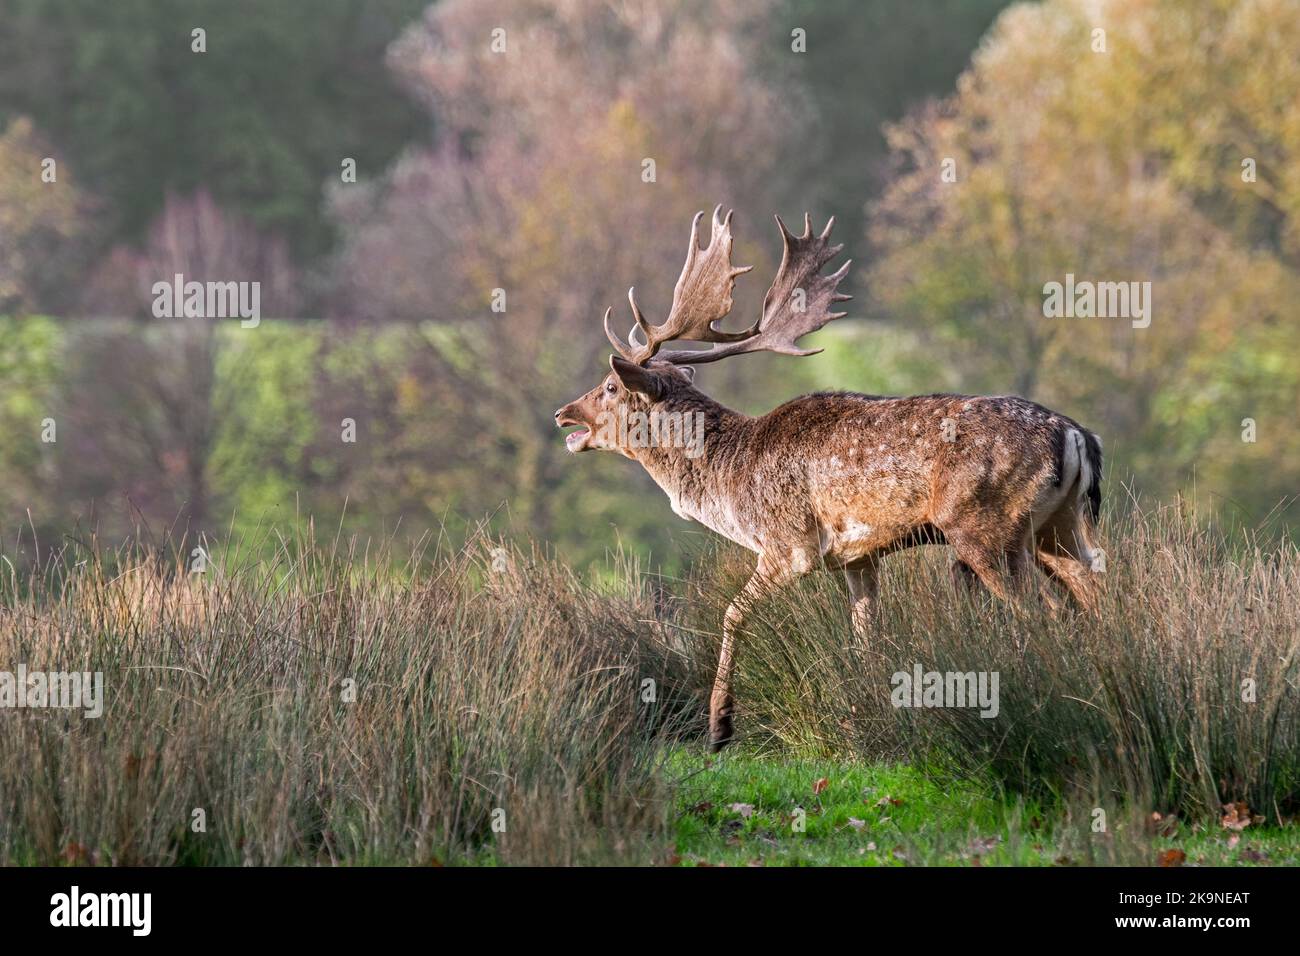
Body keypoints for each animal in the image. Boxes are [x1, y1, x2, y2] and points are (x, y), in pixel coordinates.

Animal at [555, 208, 1103, 751]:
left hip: (984, 528)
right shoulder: (857, 558)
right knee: (1092, 598)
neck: (731, 481)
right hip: (1058, 530)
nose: (563, 413)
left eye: (610, 386)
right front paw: (863, 721)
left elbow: (733, 612)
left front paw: (720, 726)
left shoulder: (790, 543)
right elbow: (865, 638)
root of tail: (1076, 434)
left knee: (1042, 612)